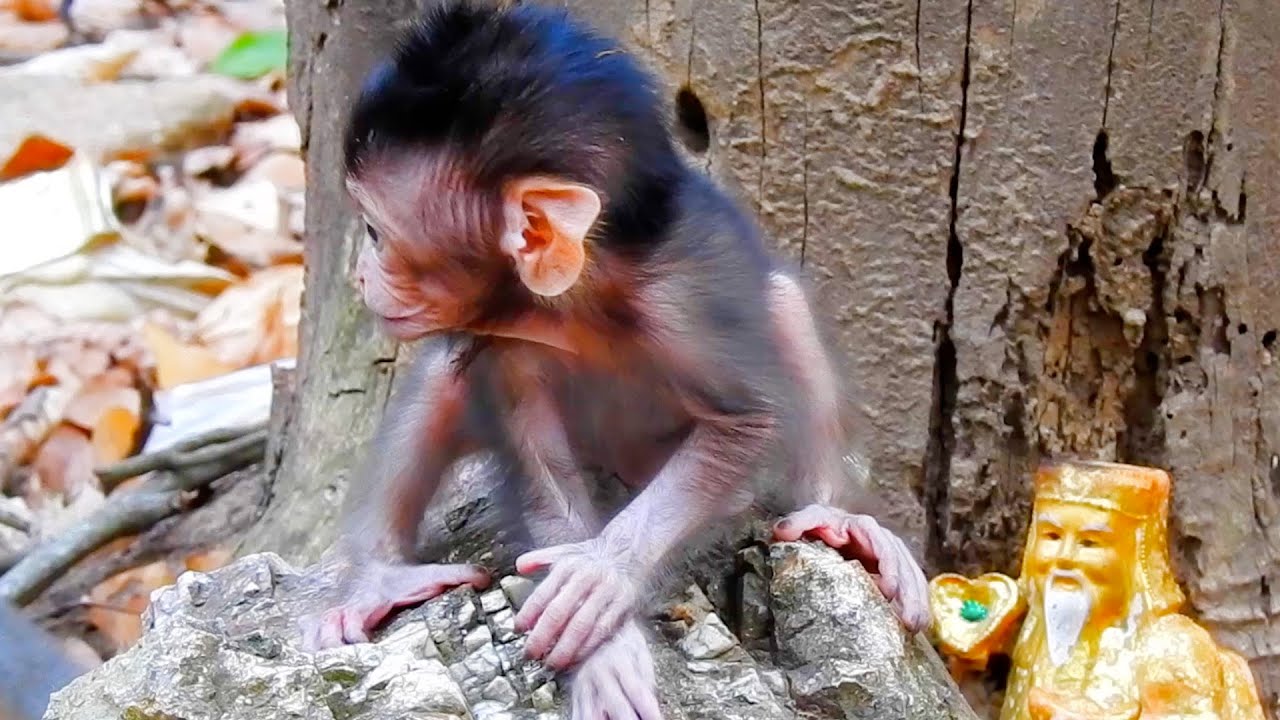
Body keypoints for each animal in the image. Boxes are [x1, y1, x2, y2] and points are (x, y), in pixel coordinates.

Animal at [296, 2, 931, 716]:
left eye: (375, 232)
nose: (359, 274)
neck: (579, 294)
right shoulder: (509, 344)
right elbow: (542, 471)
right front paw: (603, 647)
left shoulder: (682, 305)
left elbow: (747, 422)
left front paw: (602, 573)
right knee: (440, 381)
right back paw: (378, 580)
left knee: (785, 305)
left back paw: (837, 516)